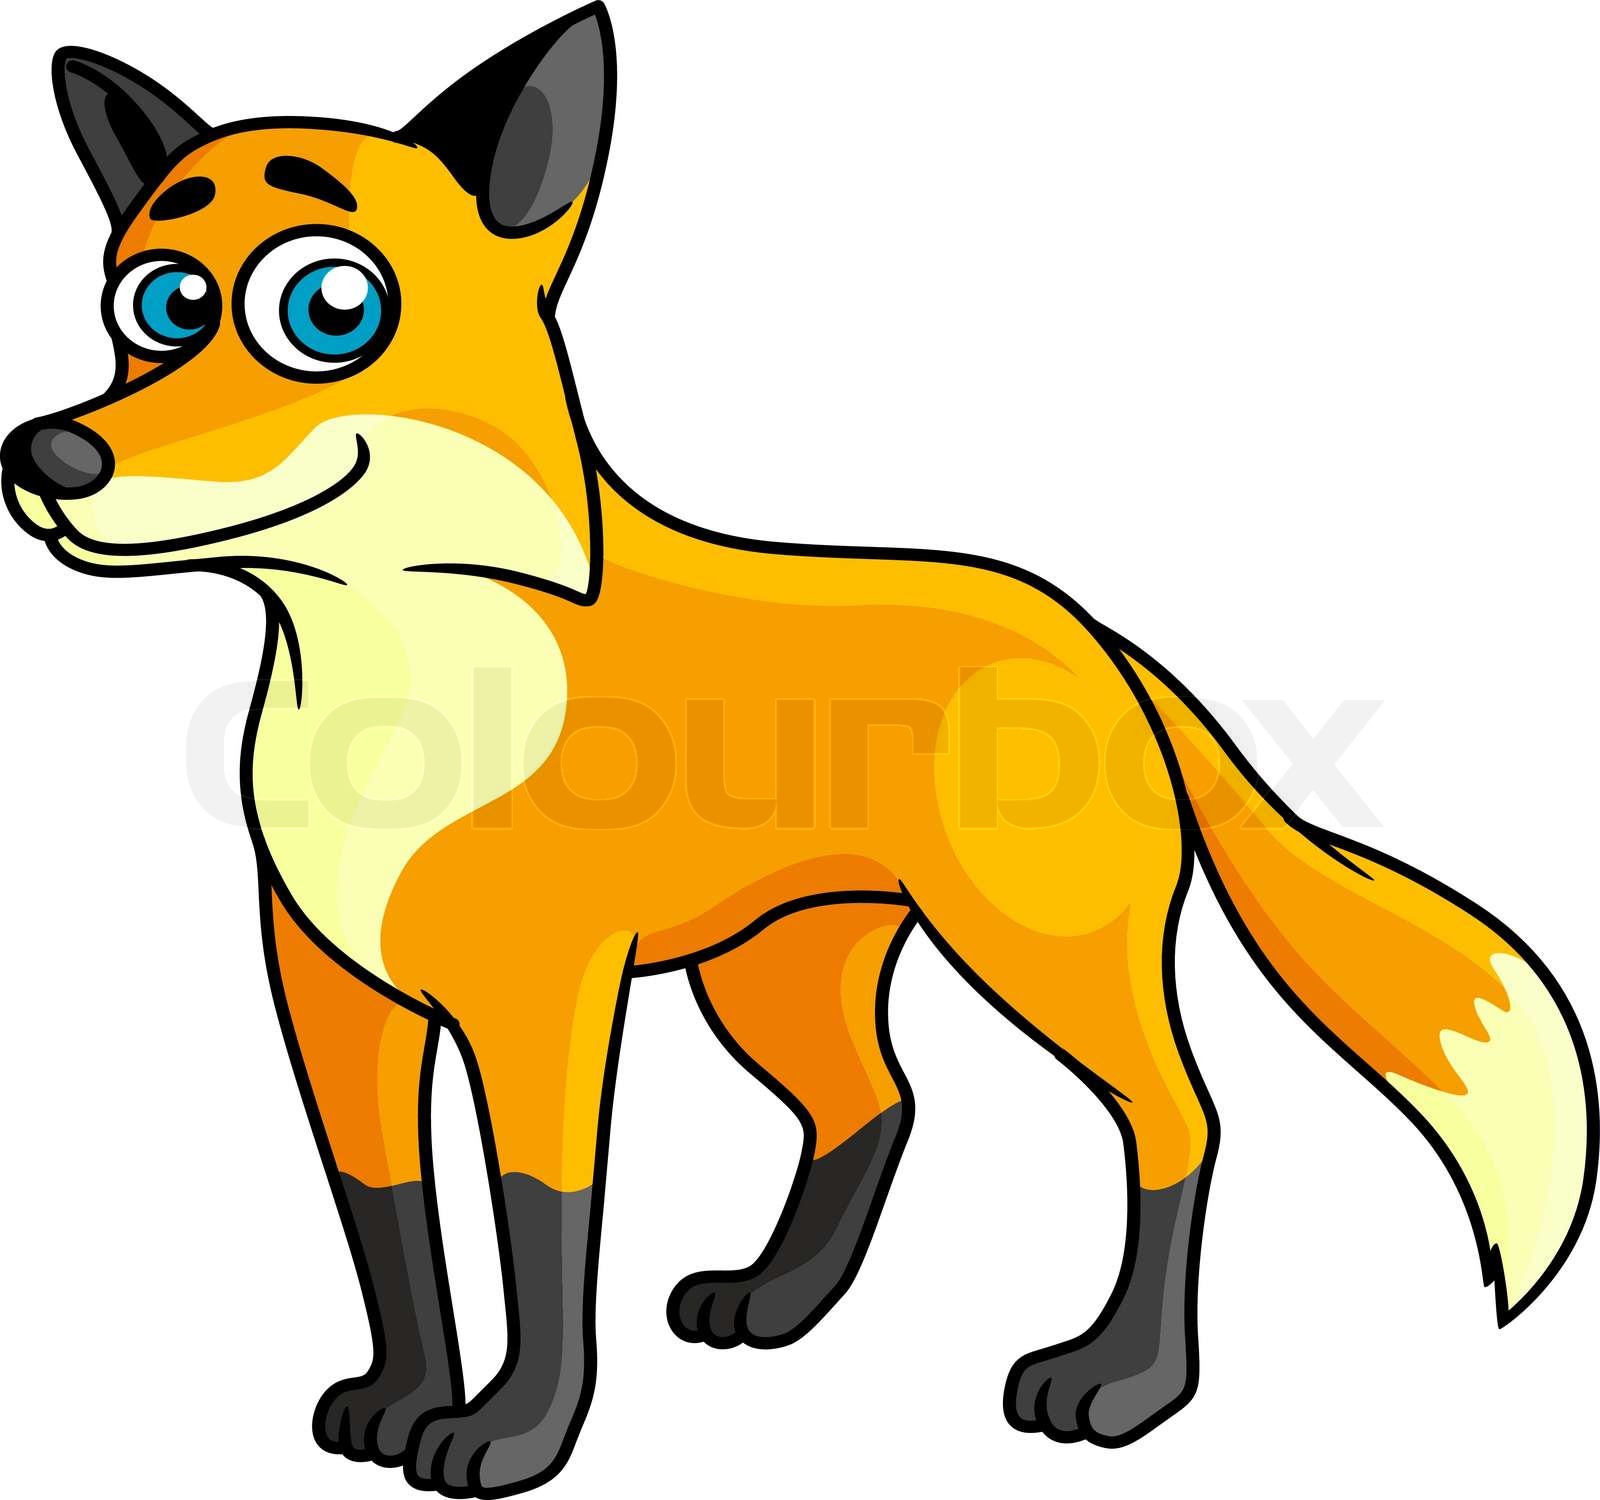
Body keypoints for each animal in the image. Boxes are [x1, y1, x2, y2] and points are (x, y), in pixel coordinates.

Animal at [2, 5, 1595, 1496]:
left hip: (1042, 958)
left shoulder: (541, 1002)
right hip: (770, 973)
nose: (47, 457)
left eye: (328, 306)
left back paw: (1123, 1383)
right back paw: (778, 1303)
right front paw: (398, 1403)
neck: (391, 688)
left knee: (1179, 1120)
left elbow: (540, 1224)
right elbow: (385, 1222)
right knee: (875, 1104)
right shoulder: (335, 996)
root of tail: (1091, 633)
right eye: (151, 304)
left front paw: (513, 1436)